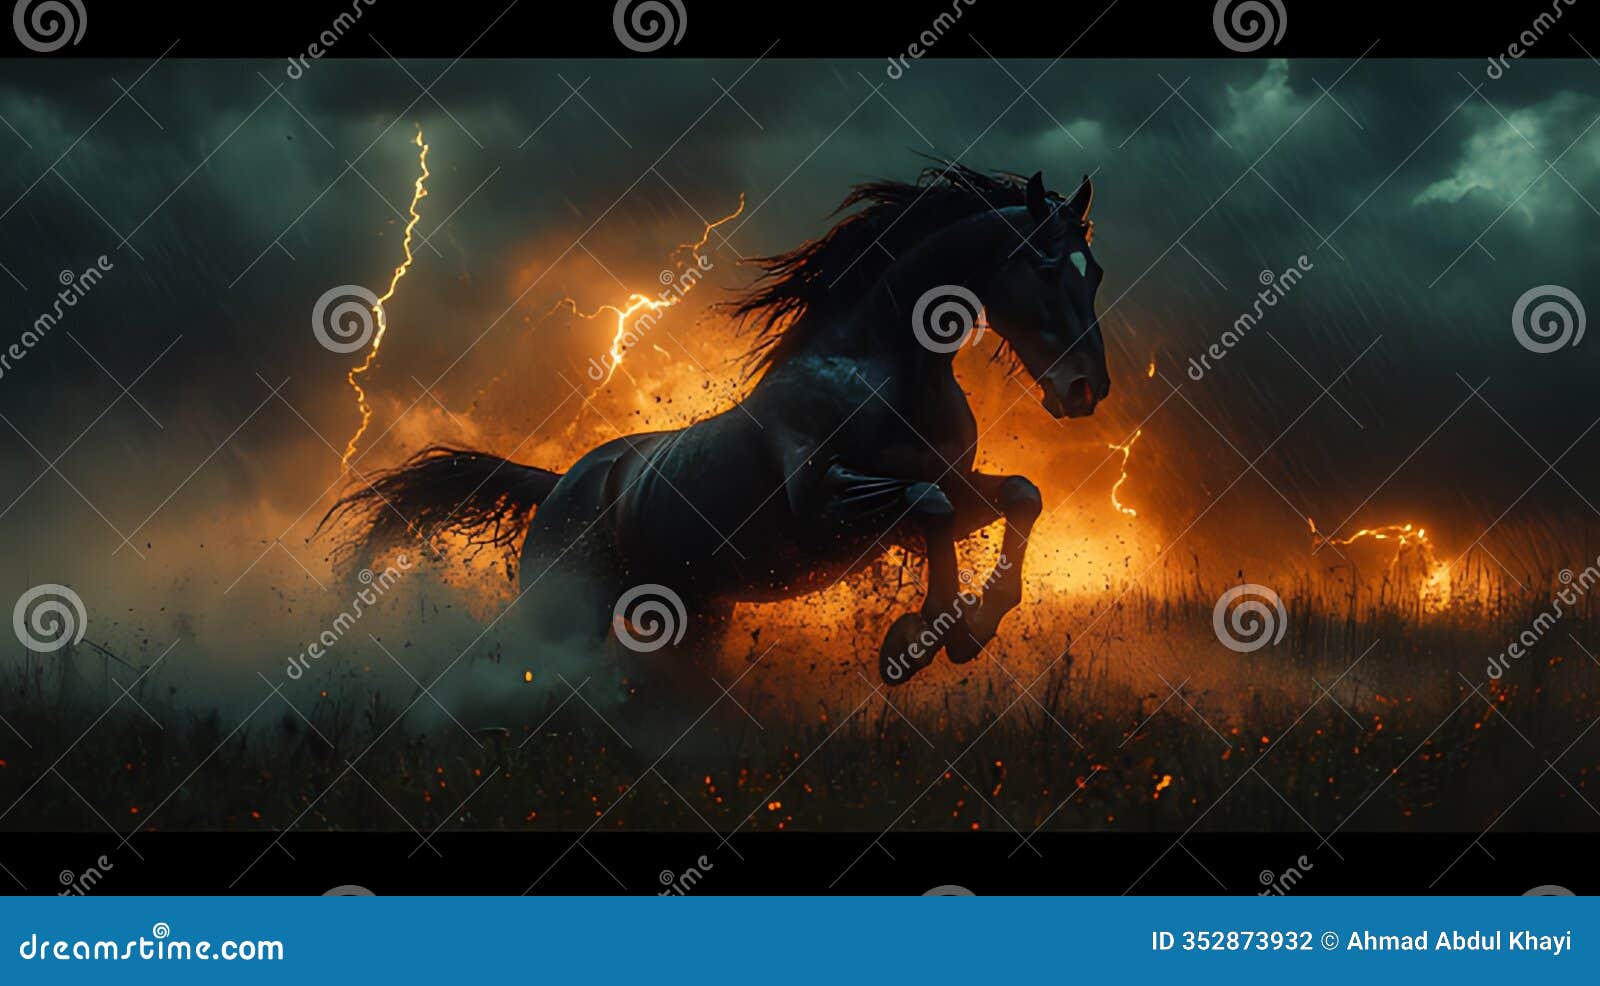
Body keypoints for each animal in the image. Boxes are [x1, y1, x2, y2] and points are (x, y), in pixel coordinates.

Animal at [323, 164, 1110, 703]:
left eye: (1095, 270)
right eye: (1045, 267)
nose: (1085, 389)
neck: (882, 365)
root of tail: (557, 488)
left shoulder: (952, 483)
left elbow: (1019, 495)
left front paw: (972, 630)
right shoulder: (823, 505)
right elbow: (928, 503)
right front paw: (918, 642)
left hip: (697, 616)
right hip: (566, 613)